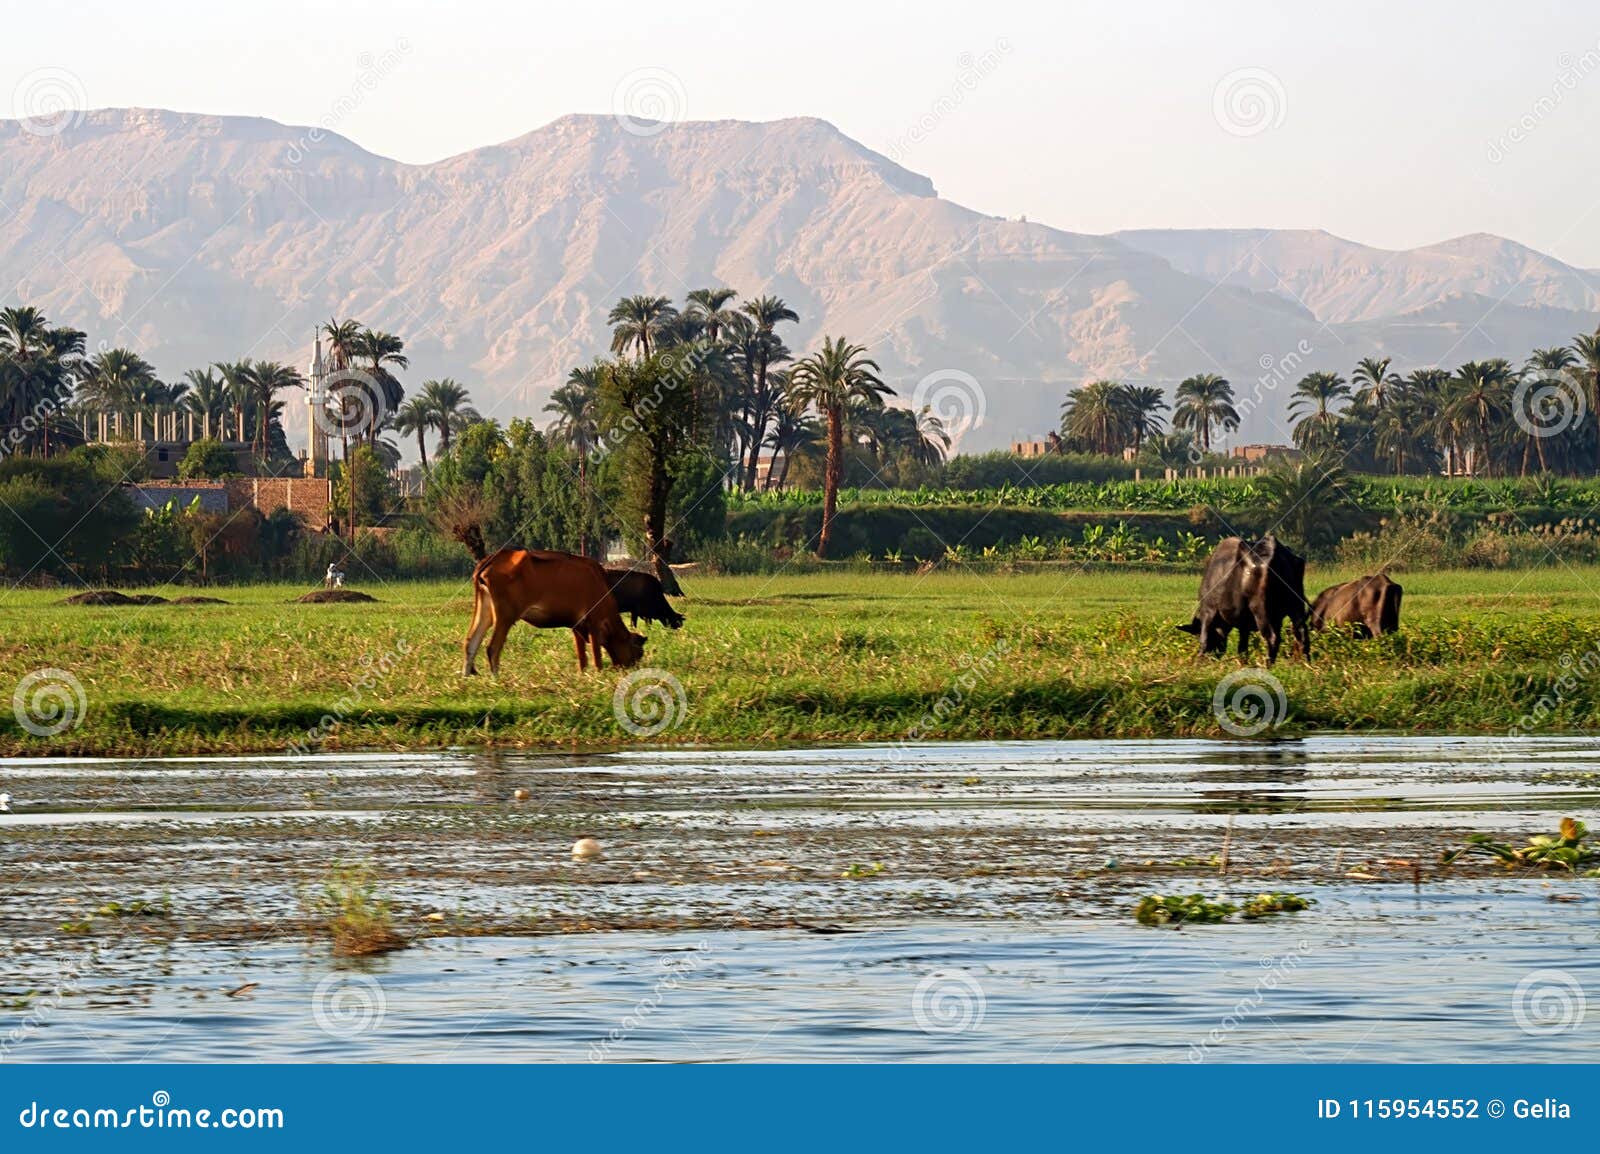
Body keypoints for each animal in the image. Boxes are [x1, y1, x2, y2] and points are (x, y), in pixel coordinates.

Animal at [464, 548, 646, 676]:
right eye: (638, 653)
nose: (632, 670)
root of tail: (494, 557)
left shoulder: (577, 625)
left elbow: (582, 655)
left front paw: (583, 673)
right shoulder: (594, 620)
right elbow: (596, 654)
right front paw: (598, 673)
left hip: (485, 610)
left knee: (470, 643)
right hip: (505, 615)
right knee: (493, 648)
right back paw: (497, 679)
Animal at [1178, 535, 1310, 664]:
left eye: (1196, 634)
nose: (1213, 657)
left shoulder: (1208, 610)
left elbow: (1204, 639)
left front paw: (1199, 661)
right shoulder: (1244, 624)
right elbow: (1242, 647)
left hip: (1260, 609)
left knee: (1273, 637)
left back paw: (1268, 665)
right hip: (1296, 605)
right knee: (1302, 632)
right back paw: (1305, 663)